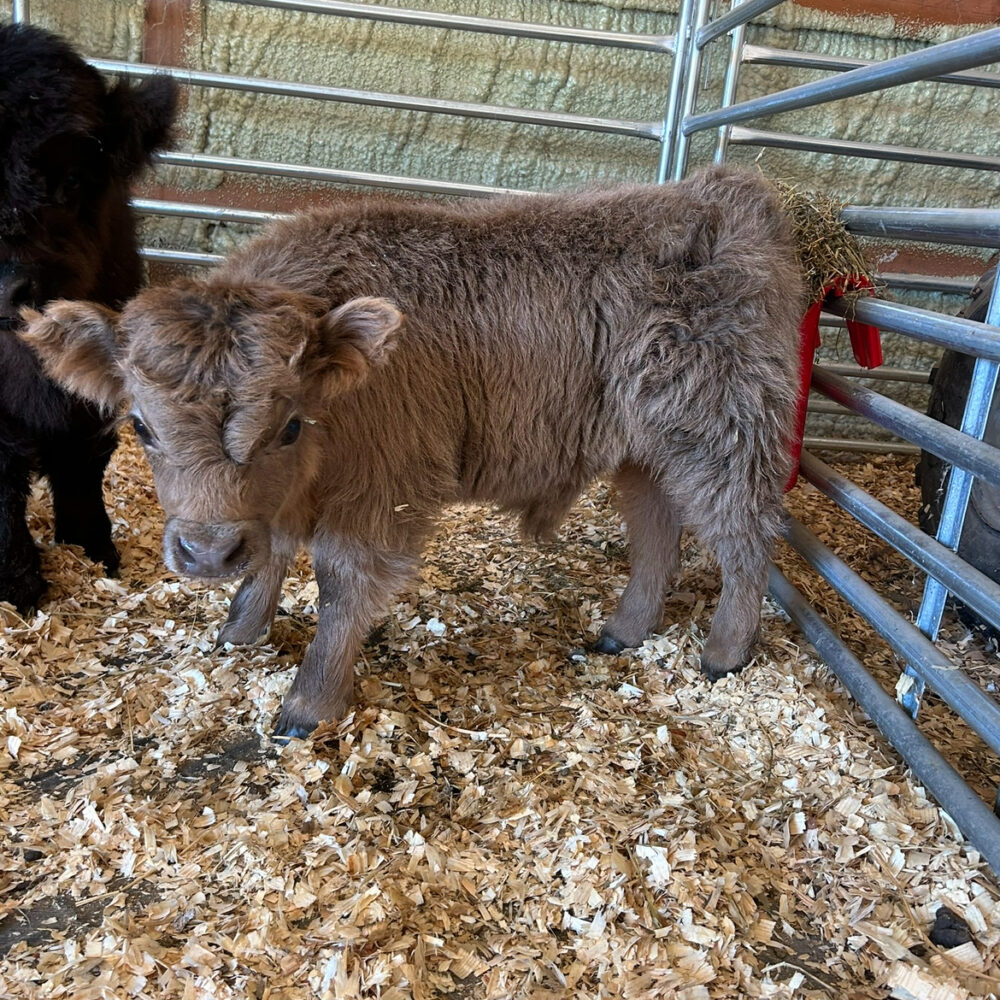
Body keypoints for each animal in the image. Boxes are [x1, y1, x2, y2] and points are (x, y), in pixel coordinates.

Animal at [0, 22, 177, 610]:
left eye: (73, 179)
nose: (8, 283)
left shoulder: (88, 397)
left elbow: (81, 467)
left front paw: (94, 553)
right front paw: (20, 590)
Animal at [21, 165, 804, 738]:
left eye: (290, 425)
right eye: (142, 426)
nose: (208, 553)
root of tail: (722, 192)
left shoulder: (380, 496)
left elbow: (341, 587)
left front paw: (309, 704)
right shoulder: (281, 508)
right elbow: (271, 557)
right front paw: (239, 630)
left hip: (722, 436)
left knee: (743, 539)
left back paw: (725, 654)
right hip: (648, 452)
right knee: (658, 532)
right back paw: (623, 631)